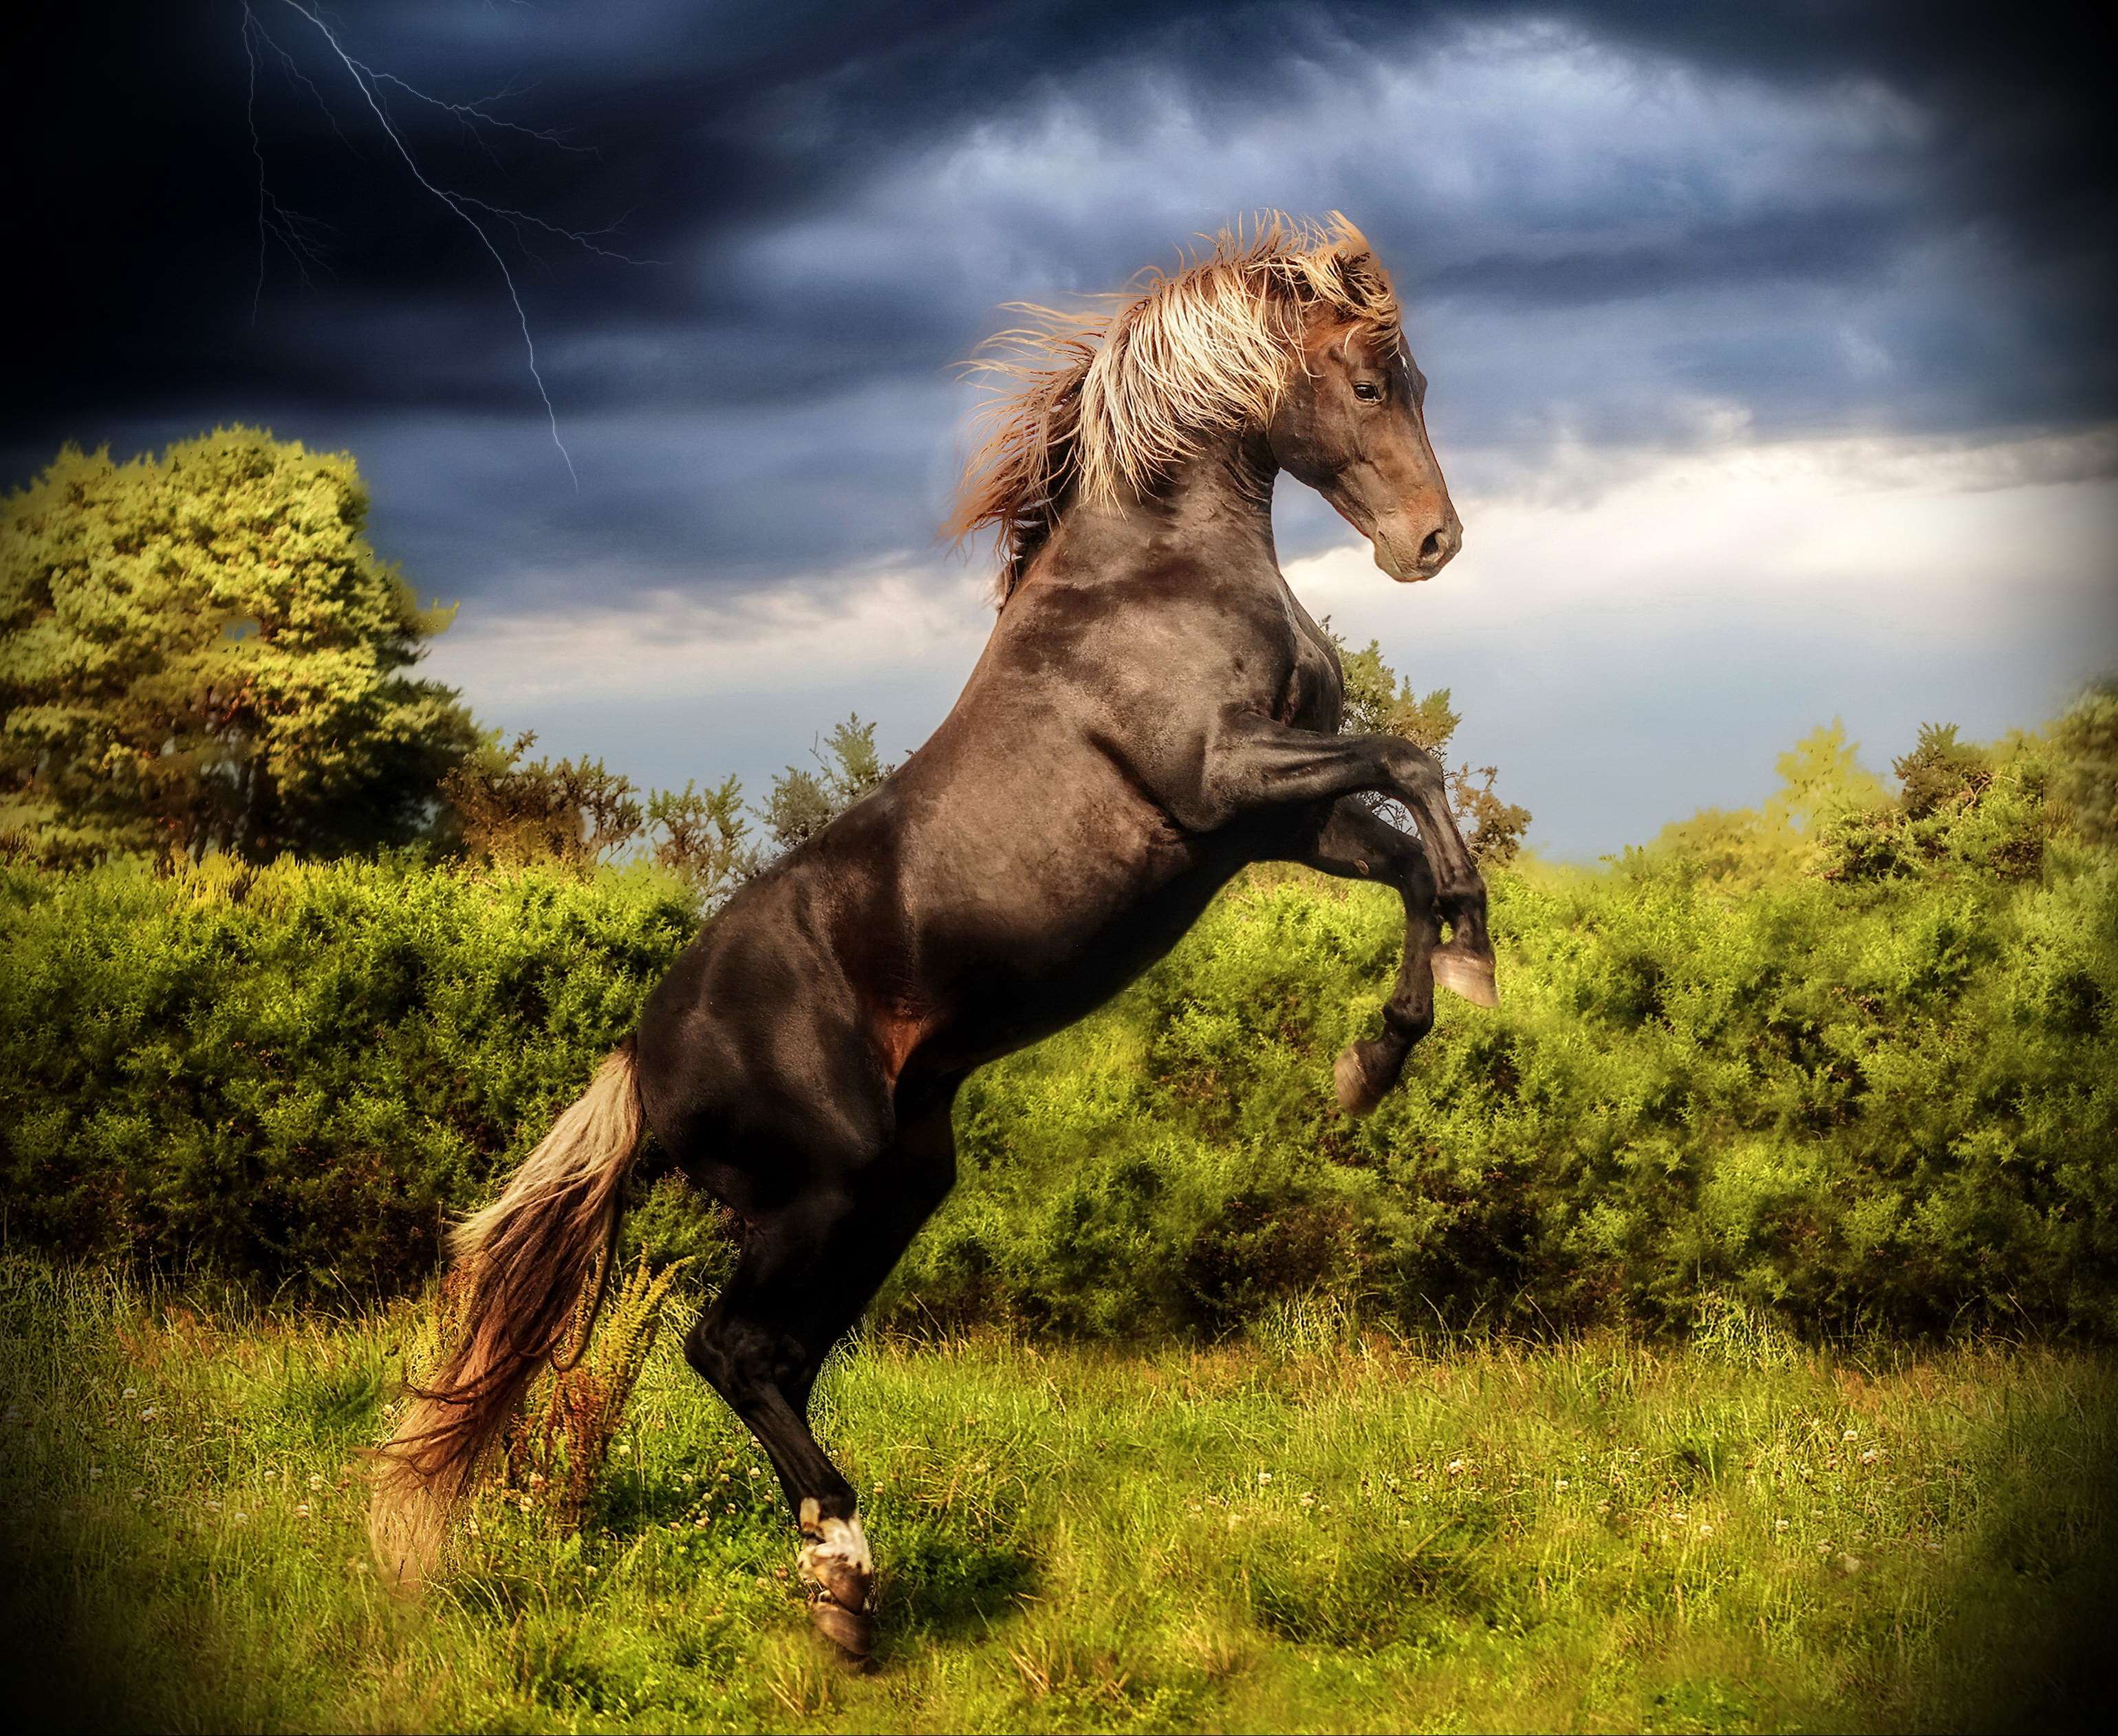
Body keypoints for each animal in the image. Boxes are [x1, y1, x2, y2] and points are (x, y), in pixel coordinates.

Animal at [371, 213, 1499, 1661]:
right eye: (1366, 383)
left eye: (1414, 382)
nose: (1430, 542)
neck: (1153, 577)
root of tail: (639, 1058)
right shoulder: (1222, 781)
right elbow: (1412, 766)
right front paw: (1464, 968)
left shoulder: (1269, 822)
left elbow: (1405, 853)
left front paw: (1385, 1047)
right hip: (828, 1186)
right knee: (725, 1346)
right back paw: (846, 1563)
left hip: (891, 1188)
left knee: (776, 1358)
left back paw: (835, 1587)